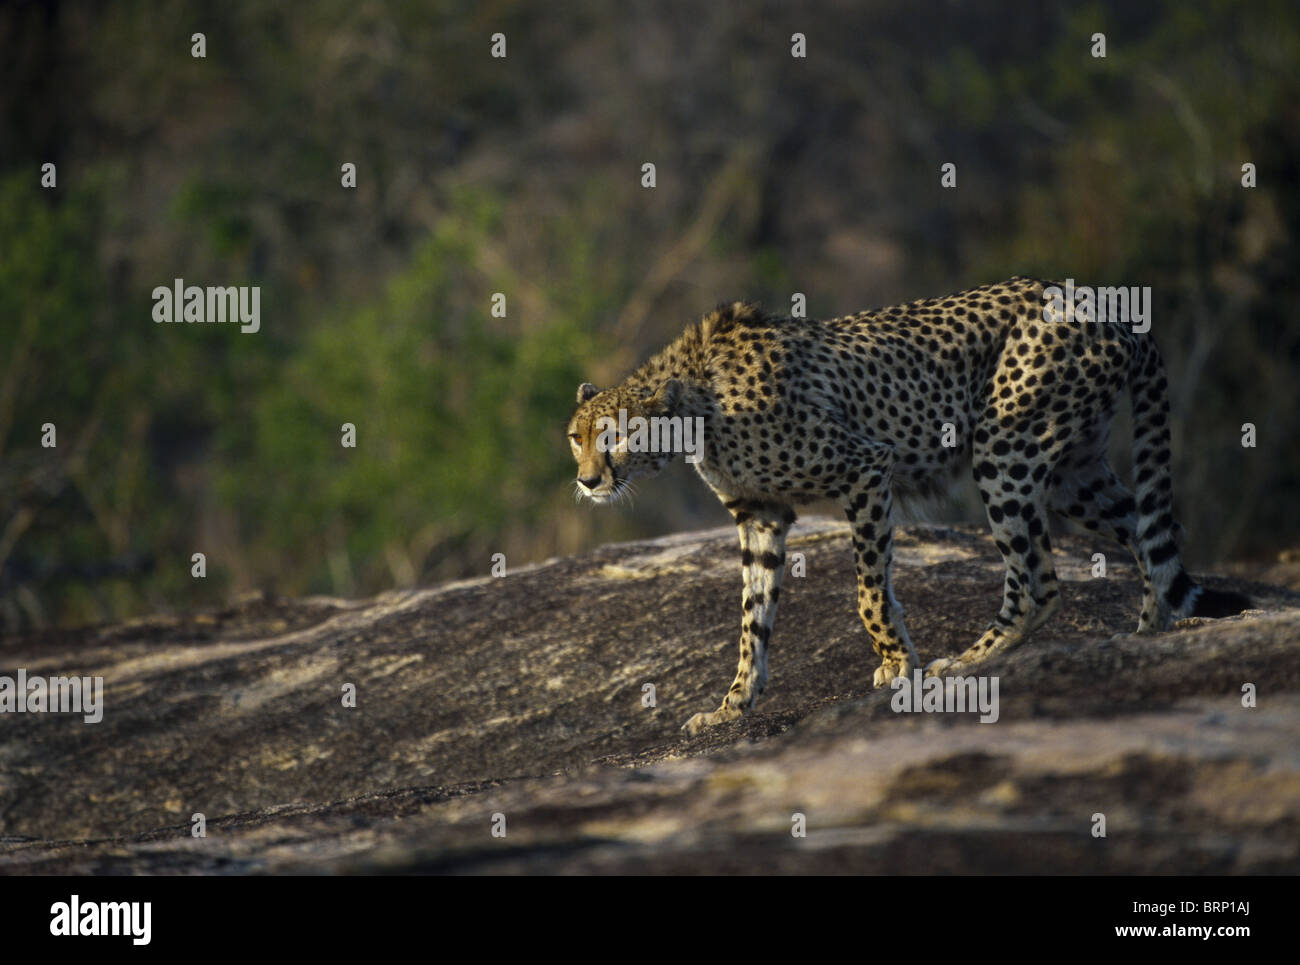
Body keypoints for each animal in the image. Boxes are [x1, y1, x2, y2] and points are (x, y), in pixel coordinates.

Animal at [567, 277, 1250, 736]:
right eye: (577, 436)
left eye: (617, 434)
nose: (588, 481)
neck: (696, 407)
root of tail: (1102, 303)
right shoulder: (760, 515)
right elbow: (751, 620)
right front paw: (731, 706)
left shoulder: (867, 469)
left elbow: (869, 591)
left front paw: (899, 665)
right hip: (1071, 472)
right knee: (1146, 528)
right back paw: (1145, 636)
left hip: (1004, 445)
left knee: (1039, 580)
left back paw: (966, 663)